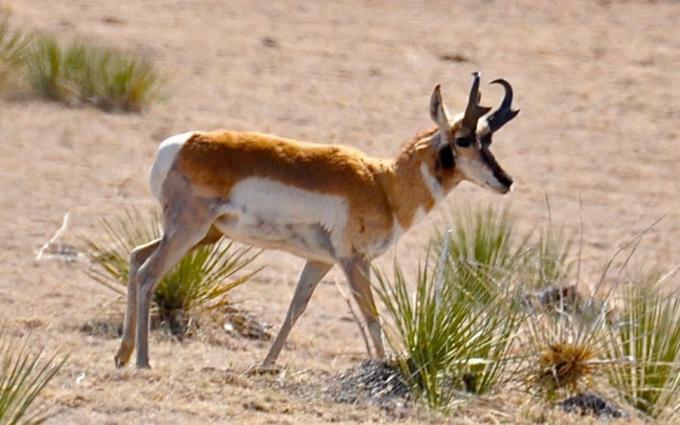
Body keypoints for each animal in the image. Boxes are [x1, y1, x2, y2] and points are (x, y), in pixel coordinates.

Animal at [115, 72, 520, 368]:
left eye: (489, 139)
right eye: (464, 139)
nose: (506, 181)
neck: (382, 184)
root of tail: (179, 144)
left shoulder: (320, 261)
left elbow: (295, 310)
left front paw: (266, 365)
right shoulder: (354, 261)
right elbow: (371, 315)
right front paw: (384, 366)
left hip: (203, 235)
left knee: (136, 257)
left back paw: (123, 355)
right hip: (190, 231)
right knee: (150, 273)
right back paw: (144, 362)